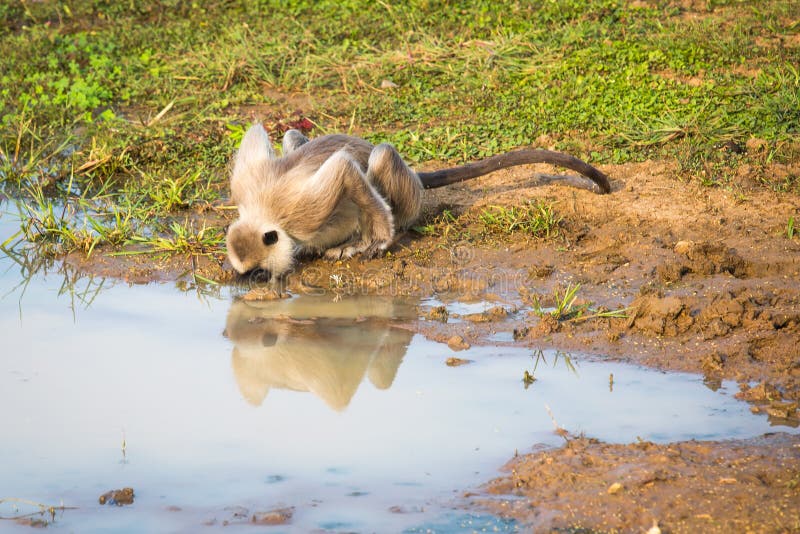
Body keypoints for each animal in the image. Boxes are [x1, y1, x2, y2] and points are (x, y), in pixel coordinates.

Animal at [226, 123, 611, 280]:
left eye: (259, 270)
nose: (256, 280)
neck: (265, 212)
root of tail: (414, 175)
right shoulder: (246, 183)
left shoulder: (304, 214)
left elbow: (345, 169)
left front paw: (379, 241)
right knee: (292, 134)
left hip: (402, 189)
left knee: (380, 156)